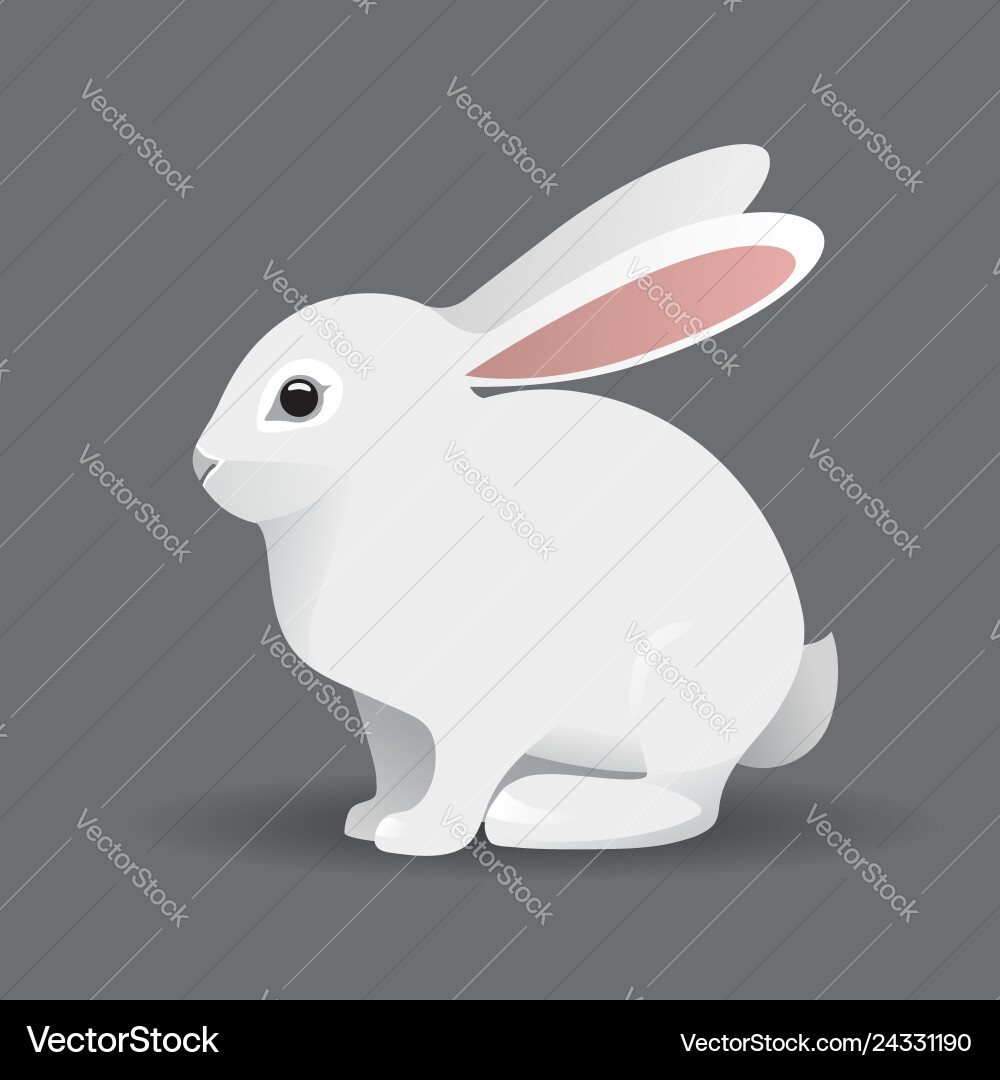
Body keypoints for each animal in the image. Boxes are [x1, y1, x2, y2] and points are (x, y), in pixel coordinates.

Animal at [193, 144, 837, 856]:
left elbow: (460, 772)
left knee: (688, 797)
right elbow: (398, 762)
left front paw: (418, 837)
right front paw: (371, 820)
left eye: (299, 397)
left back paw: (547, 814)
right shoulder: (390, 712)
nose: (202, 462)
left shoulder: (485, 706)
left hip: (682, 684)